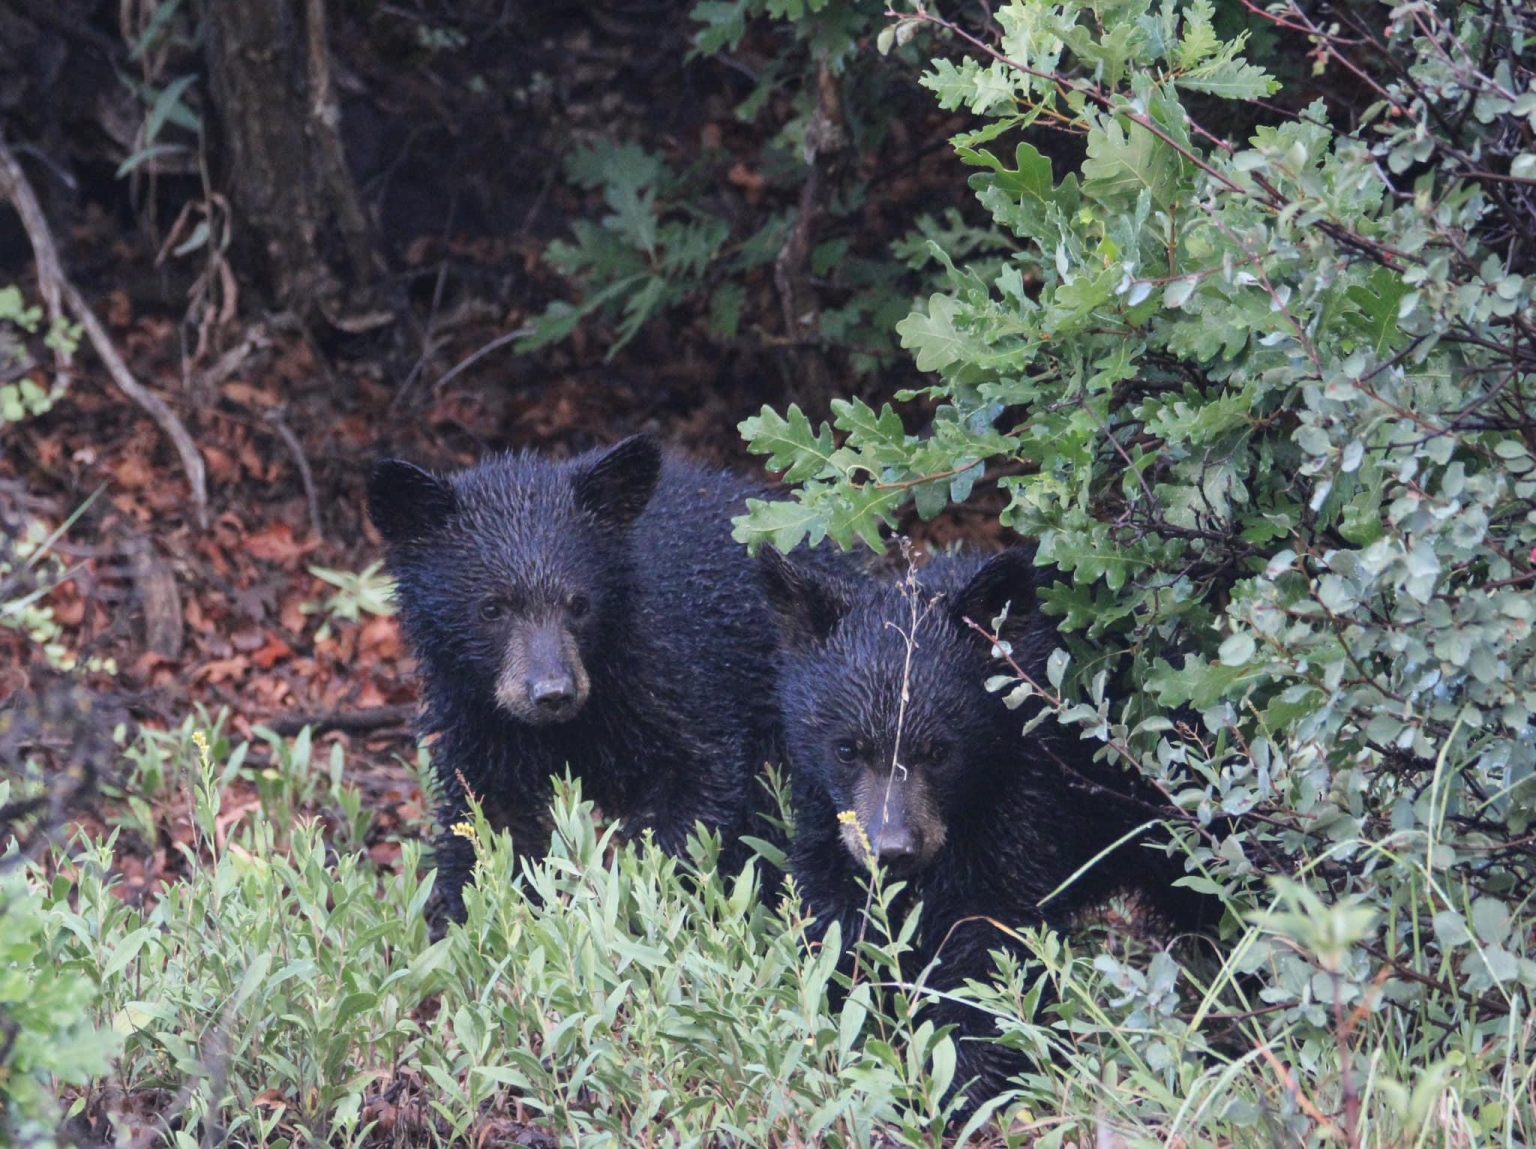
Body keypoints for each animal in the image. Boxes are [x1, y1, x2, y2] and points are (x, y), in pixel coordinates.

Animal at [369, 435, 812, 930]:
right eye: (491, 608)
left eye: (579, 603)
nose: (552, 693)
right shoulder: (478, 719)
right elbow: (487, 822)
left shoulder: (680, 678)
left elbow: (697, 789)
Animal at [759, 544, 1209, 1106]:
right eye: (846, 749)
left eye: (938, 750)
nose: (893, 849)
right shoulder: (830, 818)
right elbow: (837, 923)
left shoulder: (1025, 804)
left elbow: (993, 943)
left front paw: (962, 1088)